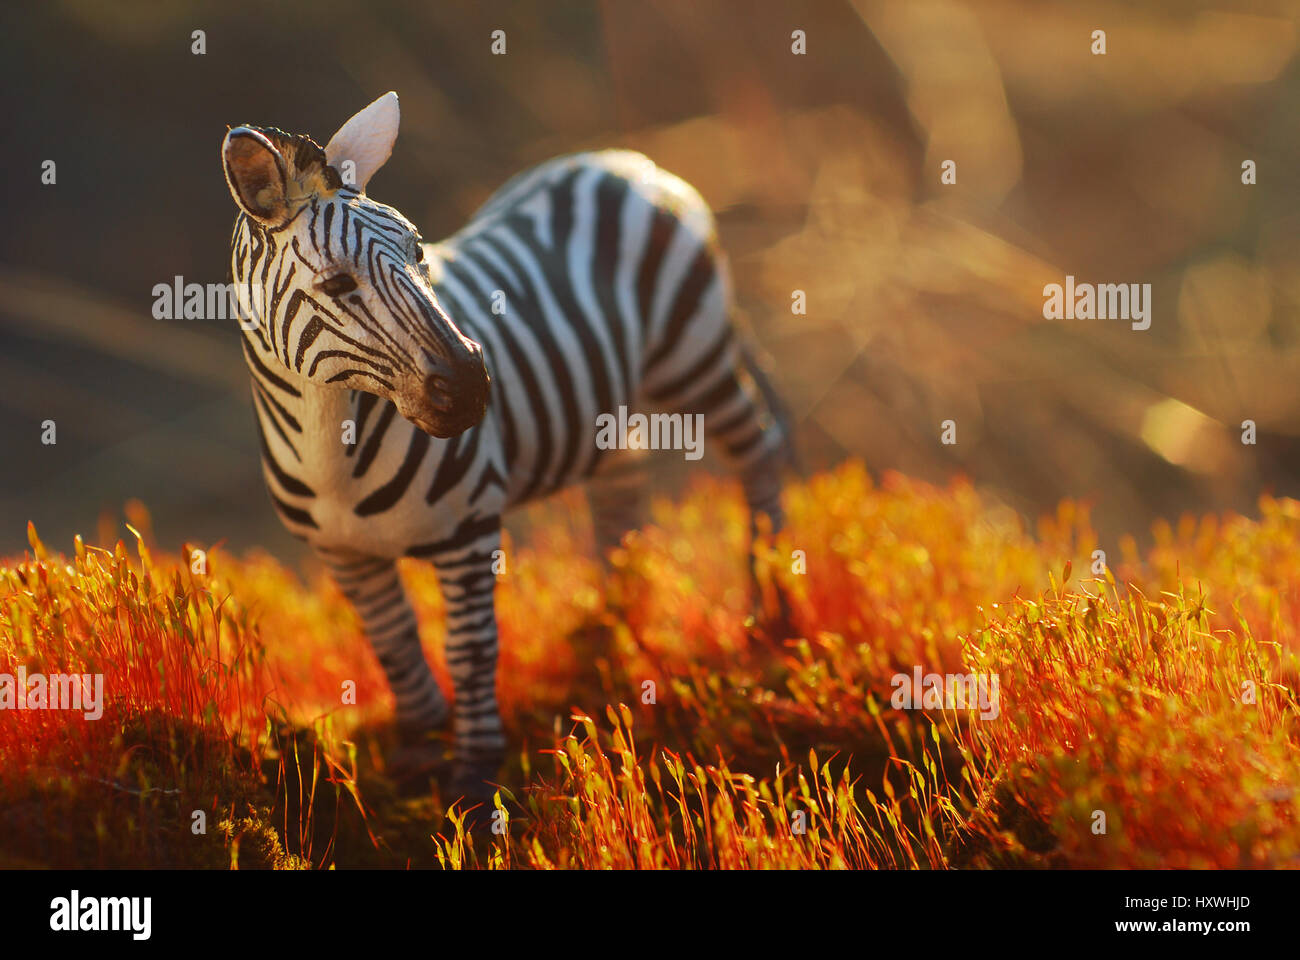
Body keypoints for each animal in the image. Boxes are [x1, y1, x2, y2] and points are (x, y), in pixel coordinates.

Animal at [221, 92, 793, 809]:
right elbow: (393, 647)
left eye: (419, 253)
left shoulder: (467, 532)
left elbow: (470, 652)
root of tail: (621, 162)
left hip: (694, 355)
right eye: (338, 286)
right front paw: (419, 747)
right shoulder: (345, 555)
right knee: (621, 479)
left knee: (758, 451)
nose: (472, 387)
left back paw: (772, 613)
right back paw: (607, 625)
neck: (330, 455)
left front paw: (472, 778)